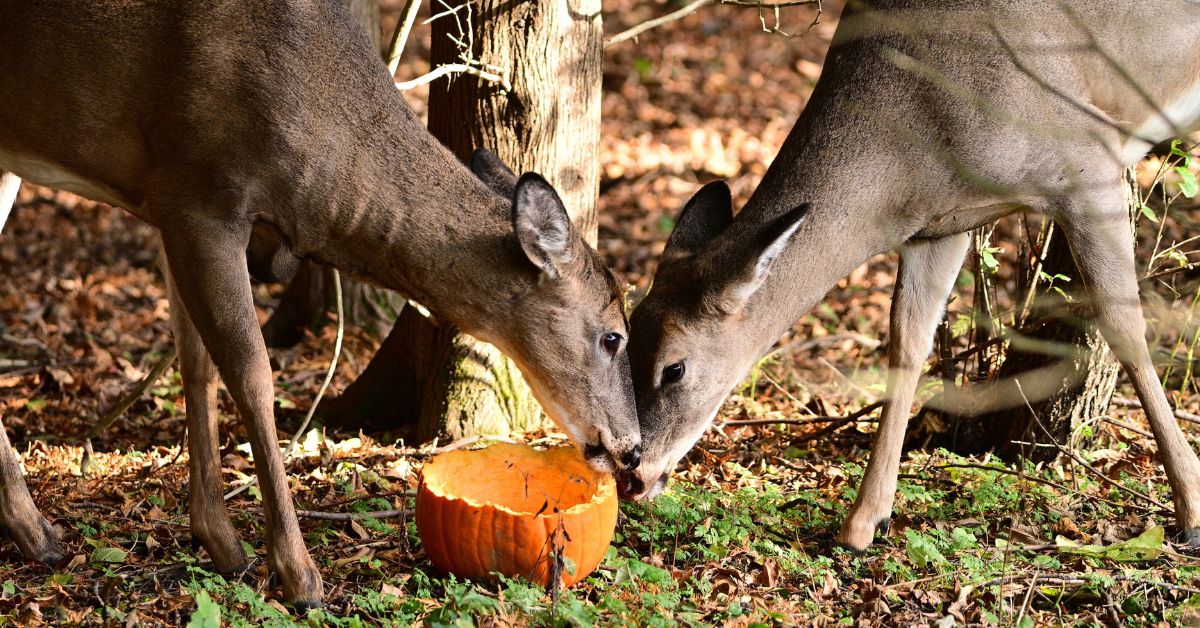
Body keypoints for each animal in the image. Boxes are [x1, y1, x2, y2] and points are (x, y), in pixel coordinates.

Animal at [0, 0, 642, 608]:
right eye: (613, 335)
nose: (632, 451)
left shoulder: (168, 207)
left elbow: (196, 363)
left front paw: (220, 541)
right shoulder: (199, 193)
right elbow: (252, 374)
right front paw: (298, 574)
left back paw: (35, 531)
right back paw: (37, 530)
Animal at [620, 0, 1200, 552]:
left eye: (674, 368)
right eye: (624, 346)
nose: (632, 475)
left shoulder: (1085, 159)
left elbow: (1124, 326)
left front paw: (1191, 509)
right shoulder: (938, 226)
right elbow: (907, 342)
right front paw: (862, 523)